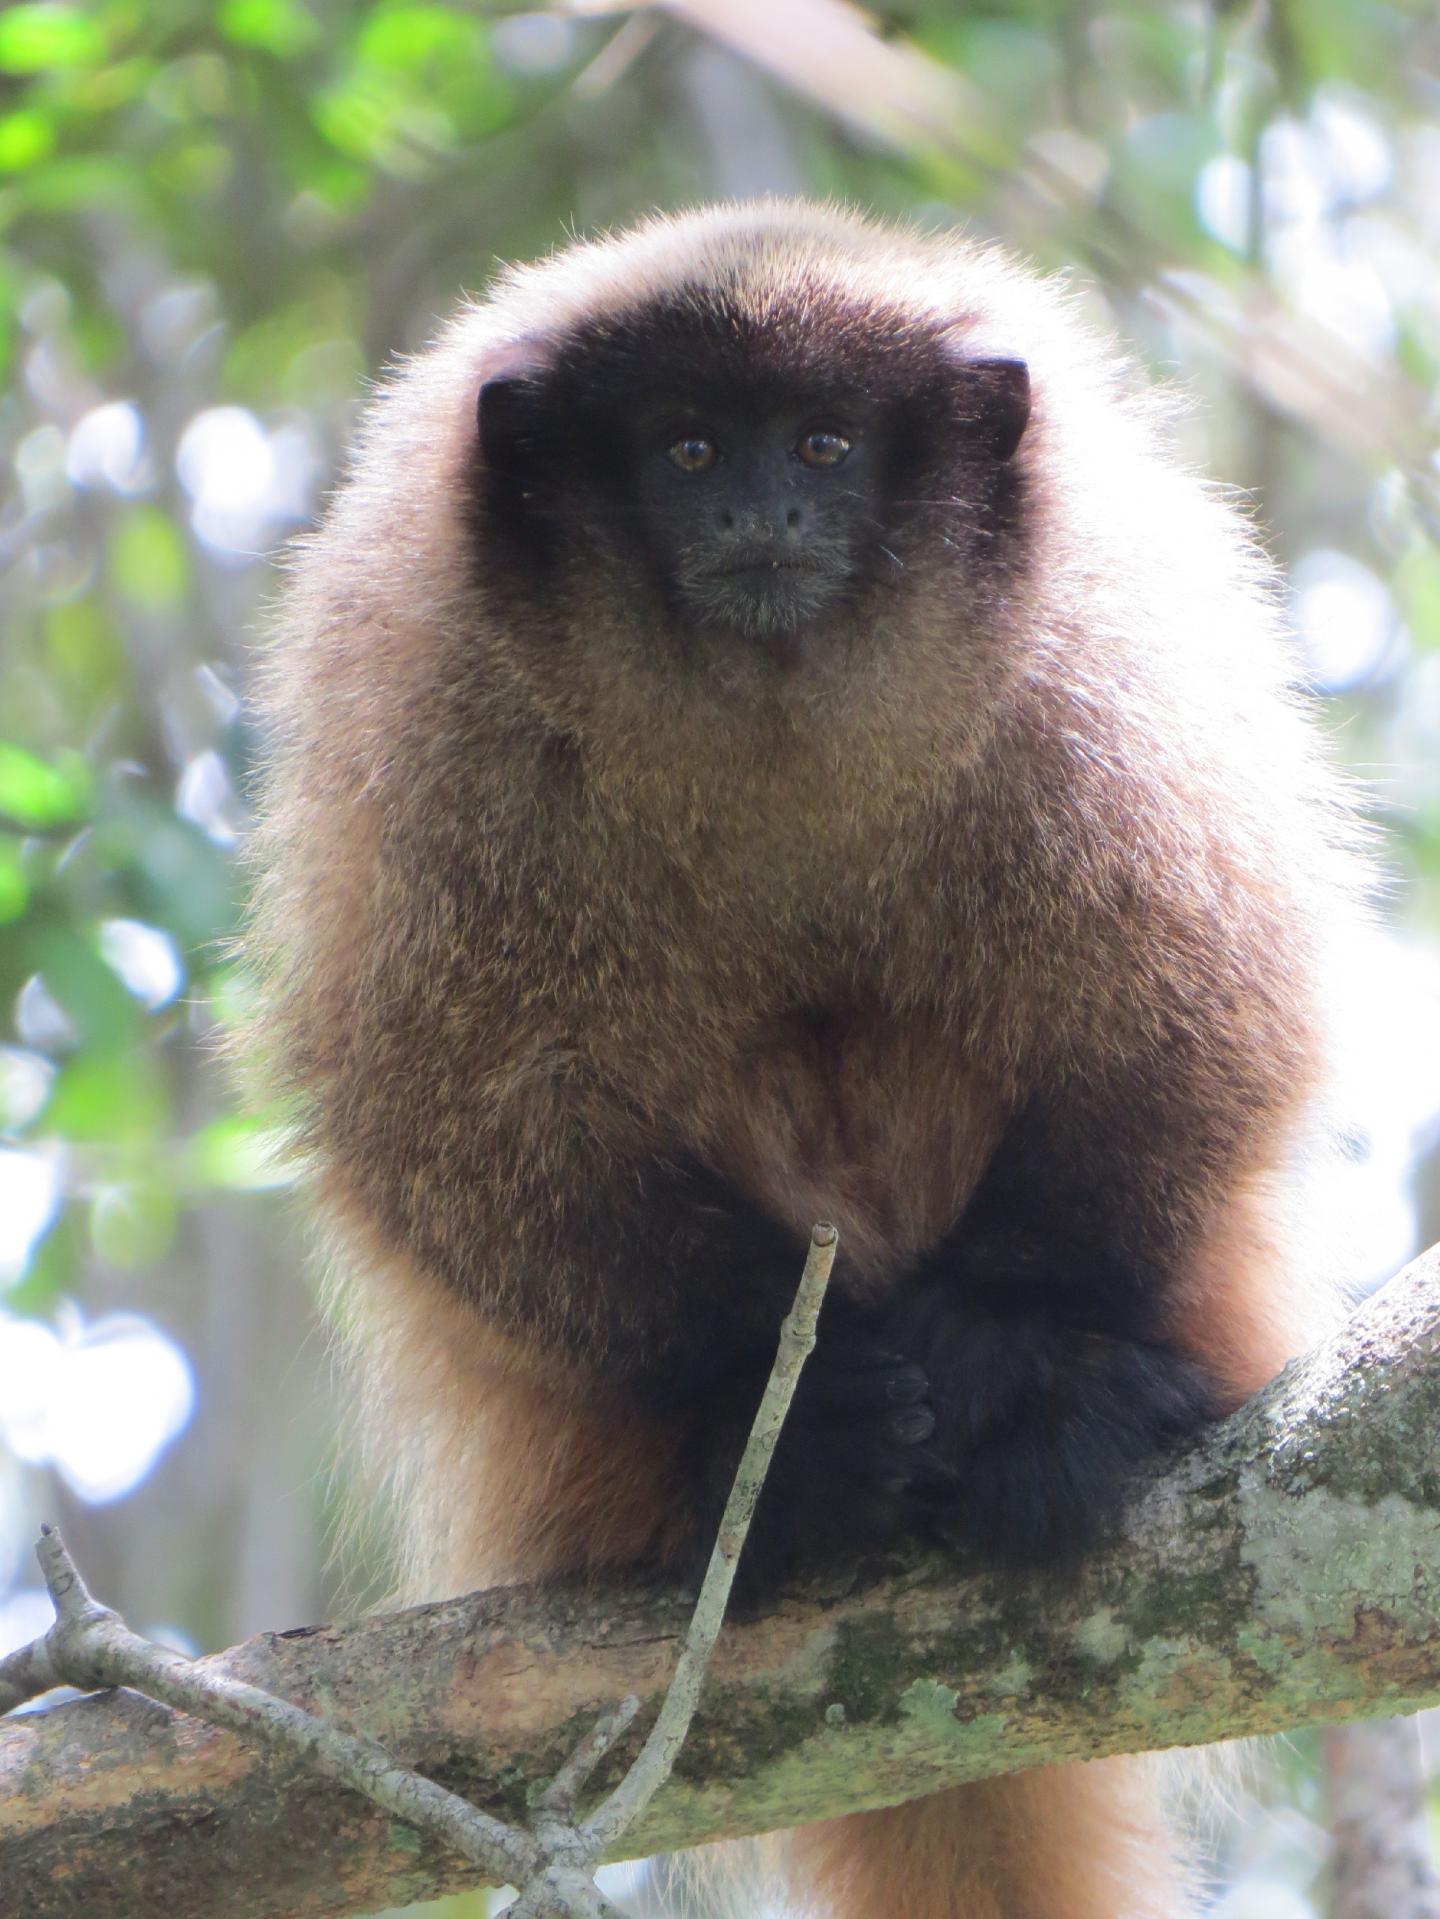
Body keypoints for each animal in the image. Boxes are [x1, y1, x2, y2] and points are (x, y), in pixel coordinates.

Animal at [245, 201, 1361, 1918]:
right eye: (692, 446)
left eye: (826, 443)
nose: (763, 504)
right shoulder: (428, 683)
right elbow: (426, 1093)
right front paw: (793, 1412)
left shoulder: (1094, 637)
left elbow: (1206, 982)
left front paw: (1018, 1353)